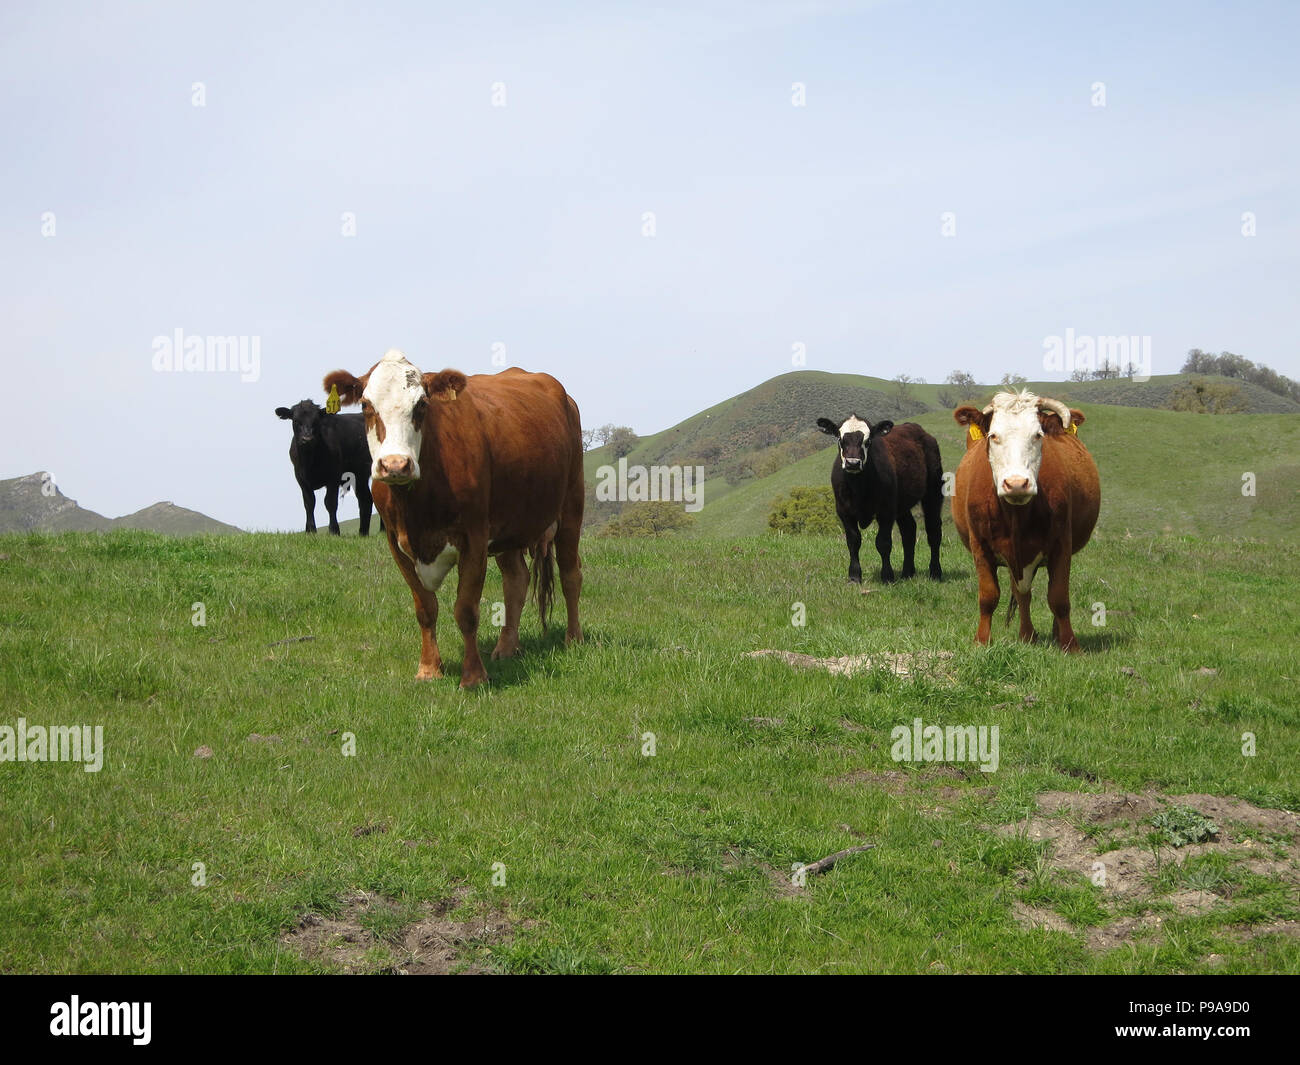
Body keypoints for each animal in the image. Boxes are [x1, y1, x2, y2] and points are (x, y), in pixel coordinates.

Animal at [274, 400, 375, 536]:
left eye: (316, 420)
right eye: (296, 420)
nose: (307, 439)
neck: (310, 461)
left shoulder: (333, 477)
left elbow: (330, 502)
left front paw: (334, 530)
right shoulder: (301, 479)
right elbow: (309, 503)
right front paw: (310, 530)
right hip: (360, 476)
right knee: (365, 499)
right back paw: (363, 533)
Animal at [322, 350, 584, 688]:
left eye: (421, 404)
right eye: (367, 405)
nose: (395, 464)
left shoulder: (474, 537)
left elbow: (466, 610)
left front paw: (473, 676)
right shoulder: (396, 542)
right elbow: (425, 608)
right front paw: (429, 668)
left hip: (571, 507)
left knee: (570, 575)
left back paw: (573, 639)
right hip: (510, 525)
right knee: (516, 581)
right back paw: (506, 646)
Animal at [815, 414, 943, 583]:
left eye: (868, 441)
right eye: (840, 439)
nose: (853, 463)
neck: (859, 487)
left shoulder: (886, 511)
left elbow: (883, 543)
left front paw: (887, 576)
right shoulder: (844, 512)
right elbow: (853, 541)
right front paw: (854, 576)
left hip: (933, 491)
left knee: (933, 530)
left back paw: (935, 573)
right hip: (901, 503)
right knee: (909, 530)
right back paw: (907, 572)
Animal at [951, 390, 1100, 652]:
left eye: (1038, 435)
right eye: (993, 435)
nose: (1017, 483)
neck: (1016, 515)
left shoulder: (1062, 544)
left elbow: (1059, 598)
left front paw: (1070, 644)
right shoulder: (980, 546)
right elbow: (988, 597)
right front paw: (981, 641)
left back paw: (1051, 634)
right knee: (1022, 593)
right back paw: (1027, 636)